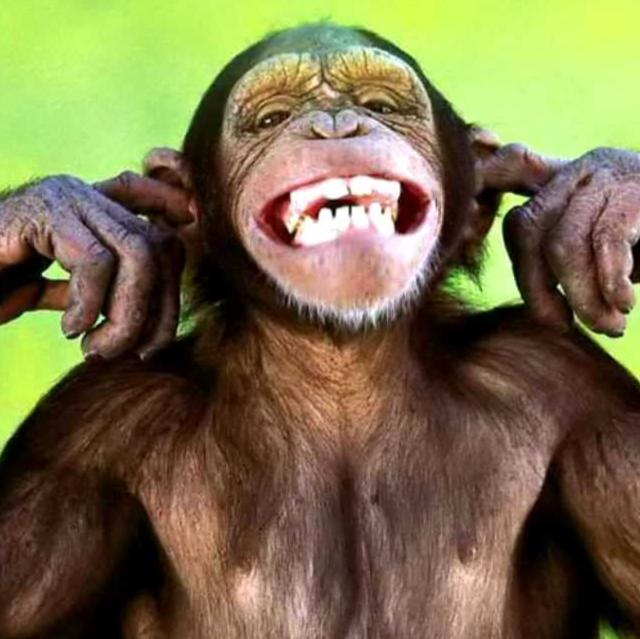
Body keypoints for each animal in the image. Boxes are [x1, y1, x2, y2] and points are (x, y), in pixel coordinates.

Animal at [2, 22, 640, 639]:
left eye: (380, 105)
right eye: (271, 118)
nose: (334, 124)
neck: (341, 375)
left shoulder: (573, 393)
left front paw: (606, 194)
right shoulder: (84, 439)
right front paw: (50, 214)